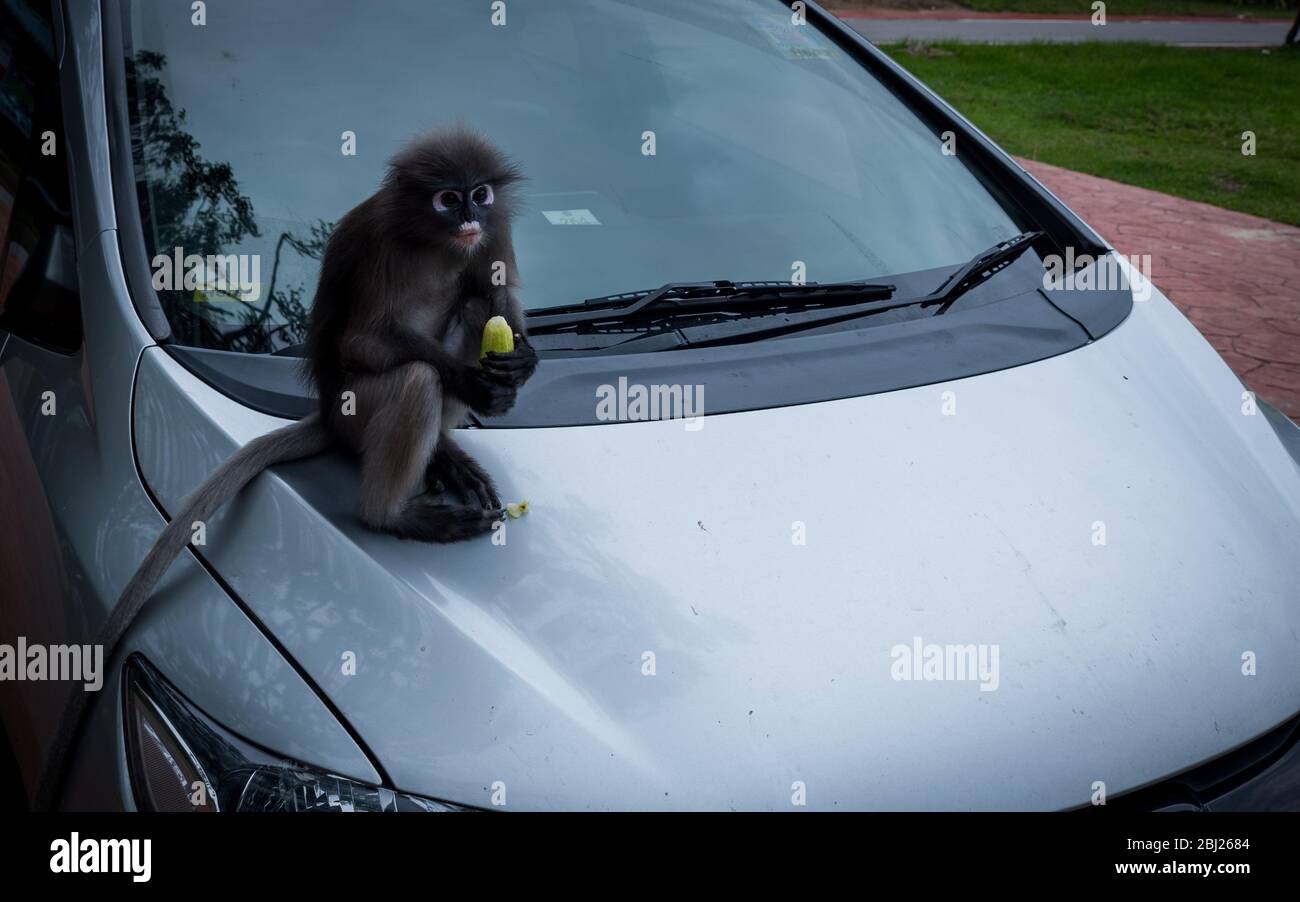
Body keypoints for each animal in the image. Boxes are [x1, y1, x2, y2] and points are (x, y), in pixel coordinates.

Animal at [34, 128, 537, 809]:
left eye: (479, 194)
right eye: (446, 198)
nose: (468, 220)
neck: (437, 244)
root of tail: (326, 409)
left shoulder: (495, 233)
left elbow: (501, 299)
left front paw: (521, 362)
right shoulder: (387, 243)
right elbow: (365, 344)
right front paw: (472, 380)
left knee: (476, 299)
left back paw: (445, 451)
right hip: (357, 410)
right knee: (415, 376)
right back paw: (396, 512)